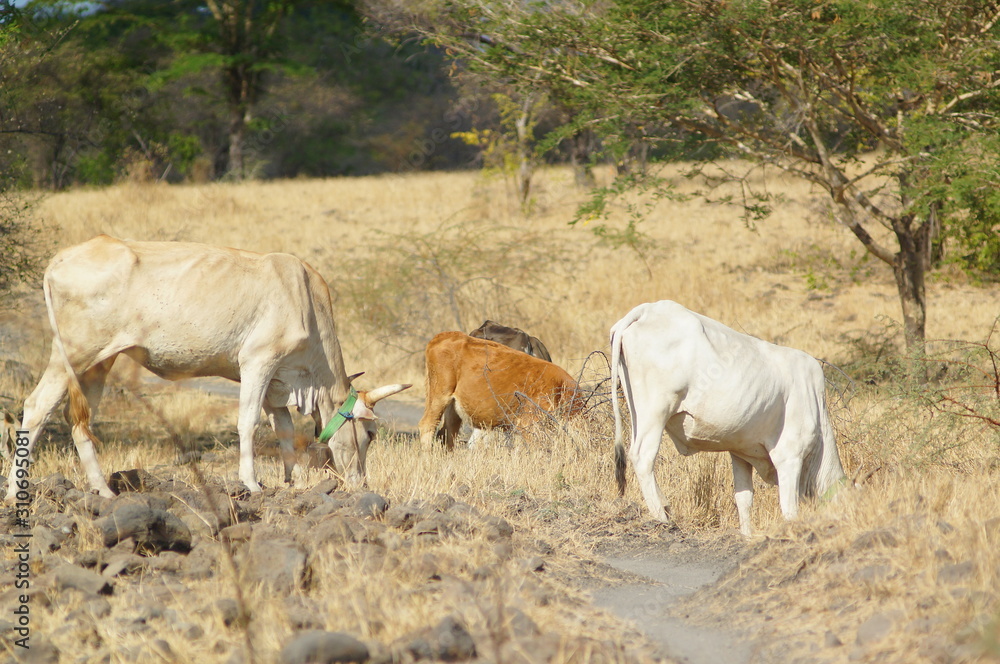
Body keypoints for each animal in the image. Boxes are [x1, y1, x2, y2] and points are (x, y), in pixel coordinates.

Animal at [3, 235, 411, 503]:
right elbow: (249, 423)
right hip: (71, 353)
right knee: (37, 407)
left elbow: (283, 429)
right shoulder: (258, 361)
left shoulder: (277, 381)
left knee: (80, 422)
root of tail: (61, 258)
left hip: (99, 362)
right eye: (370, 434)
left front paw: (292, 480)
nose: (362, 484)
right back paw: (14, 492)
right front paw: (252, 484)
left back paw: (103, 490)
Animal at [419, 331, 583, 450]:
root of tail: (445, 335)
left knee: (447, 434)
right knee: (427, 425)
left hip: (453, 408)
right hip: (439, 396)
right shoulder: (528, 424)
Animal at [610, 300, 847, 536]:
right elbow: (789, 509)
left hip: (636, 410)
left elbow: (744, 499)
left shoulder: (741, 453)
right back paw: (662, 516)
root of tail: (648, 309)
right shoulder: (789, 455)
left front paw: (747, 535)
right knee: (643, 457)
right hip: (656, 411)